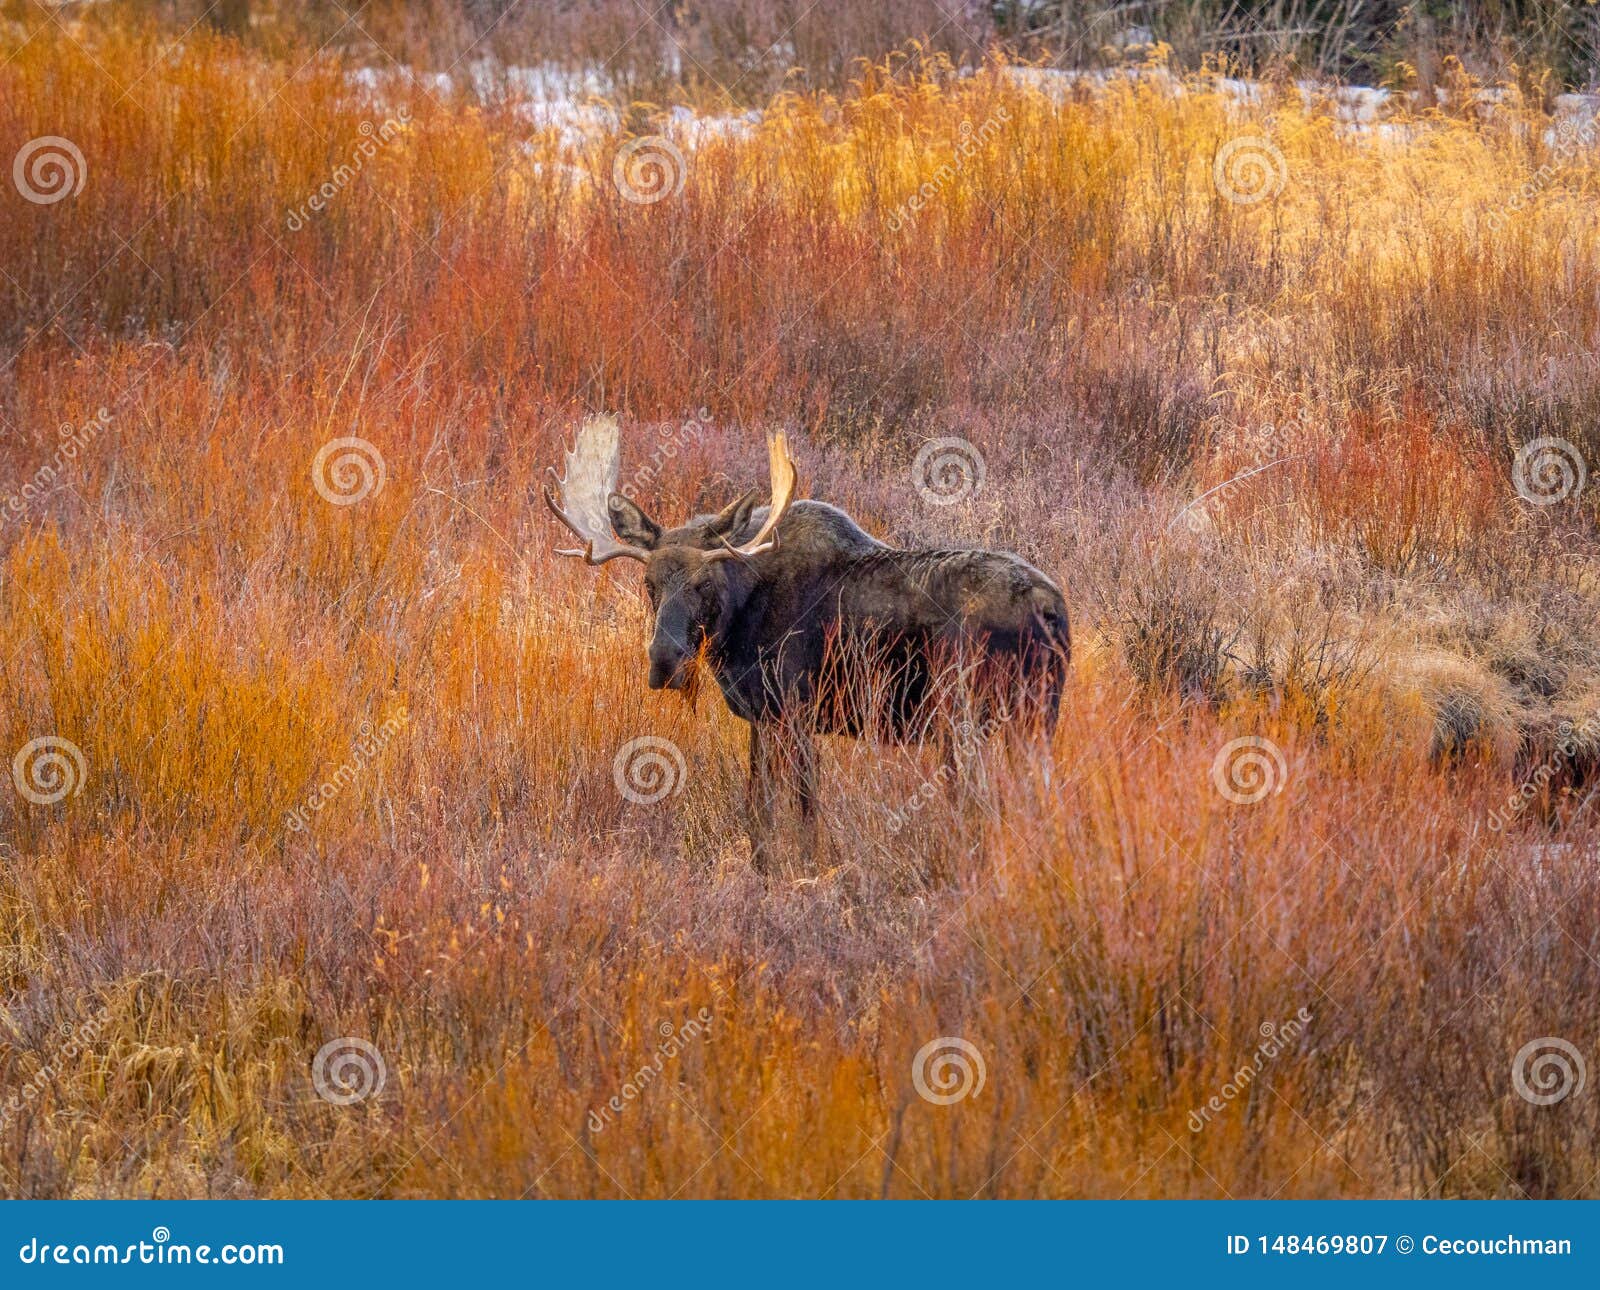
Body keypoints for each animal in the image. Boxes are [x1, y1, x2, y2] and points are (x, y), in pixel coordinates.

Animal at [544, 414, 1071, 872]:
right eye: (649, 583)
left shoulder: (795, 711)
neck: (737, 623)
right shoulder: (762, 717)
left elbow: (803, 809)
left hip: (968, 714)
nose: (664, 661)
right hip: (1034, 719)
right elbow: (758, 808)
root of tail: (1053, 609)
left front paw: (807, 873)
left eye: (704, 583)